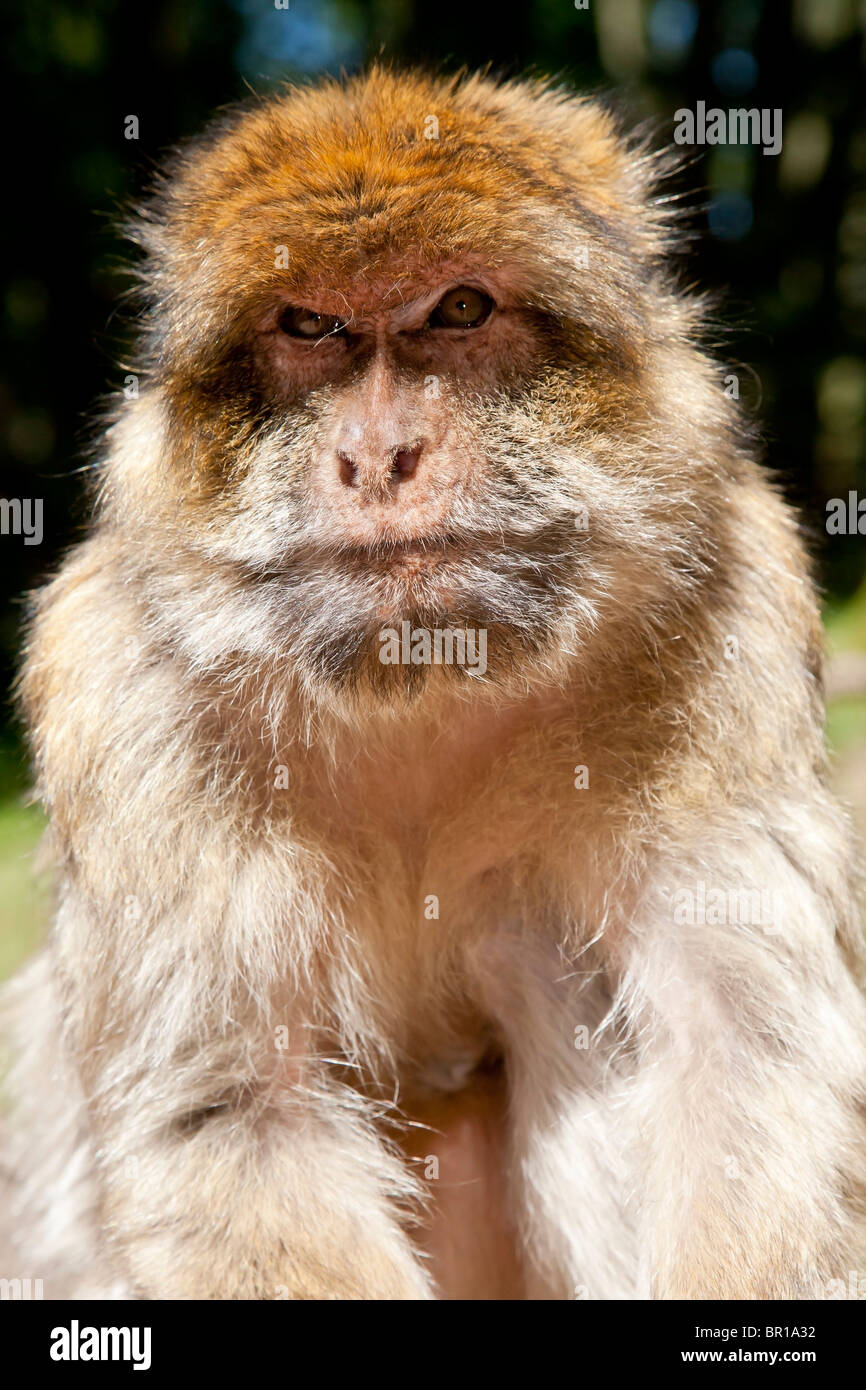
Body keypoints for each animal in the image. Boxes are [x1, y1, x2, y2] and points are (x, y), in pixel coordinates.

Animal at [3, 65, 866, 1301]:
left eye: (458, 311)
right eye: (307, 325)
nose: (377, 454)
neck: (420, 688)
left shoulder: (729, 621)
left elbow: (742, 1052)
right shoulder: (117, 692)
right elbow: (228, 1111)